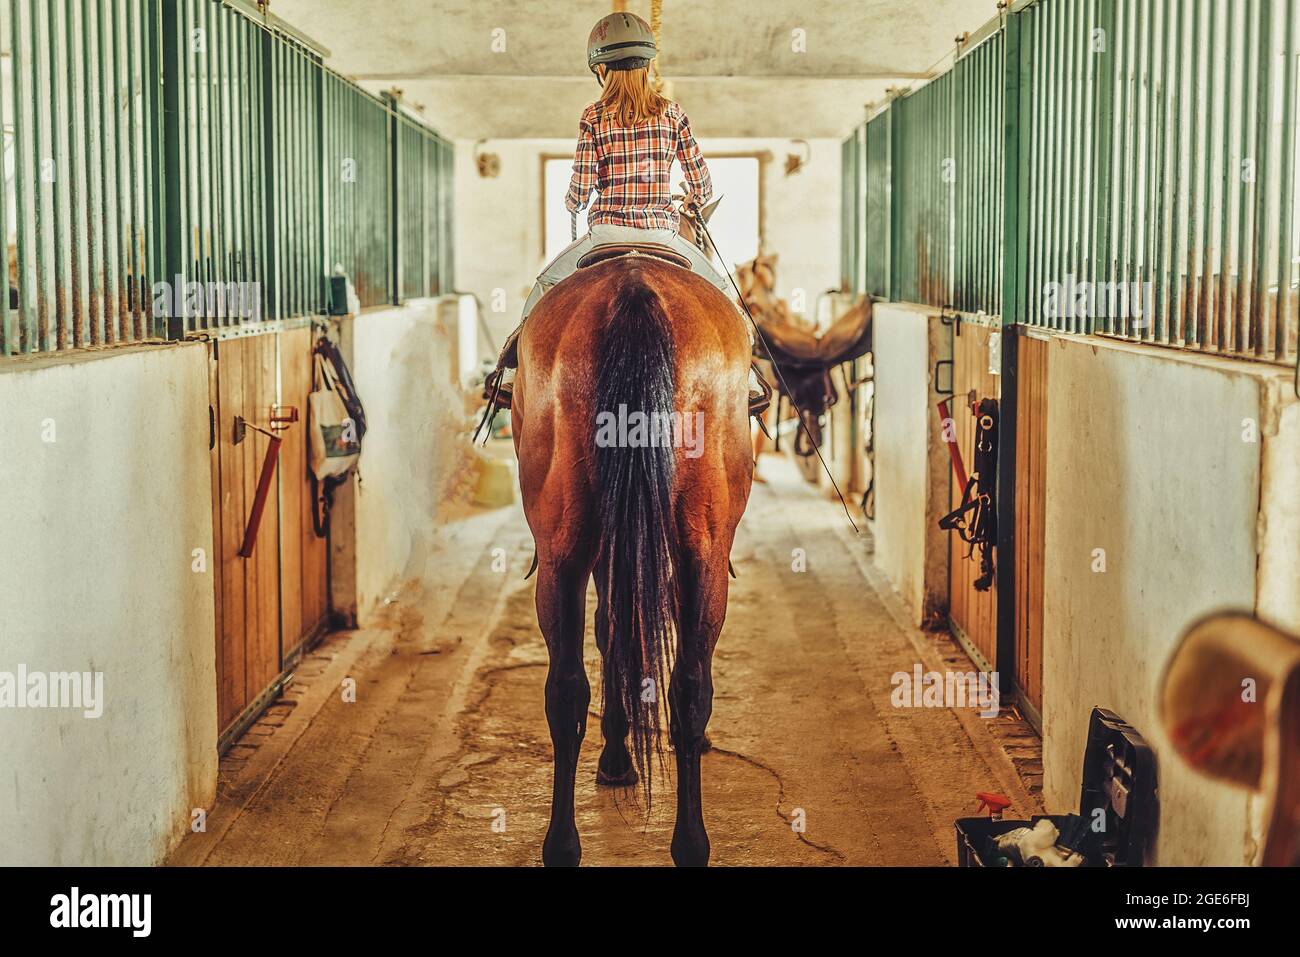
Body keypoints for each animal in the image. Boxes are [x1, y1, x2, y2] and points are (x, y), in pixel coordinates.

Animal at [511, 245, 753, 867]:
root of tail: (635, 287)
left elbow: (613, 628)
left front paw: (618, 751)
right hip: (699, 551)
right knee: (685, 683)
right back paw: (685, 839)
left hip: (566, 551)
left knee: (571, 688)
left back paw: (568, 844)